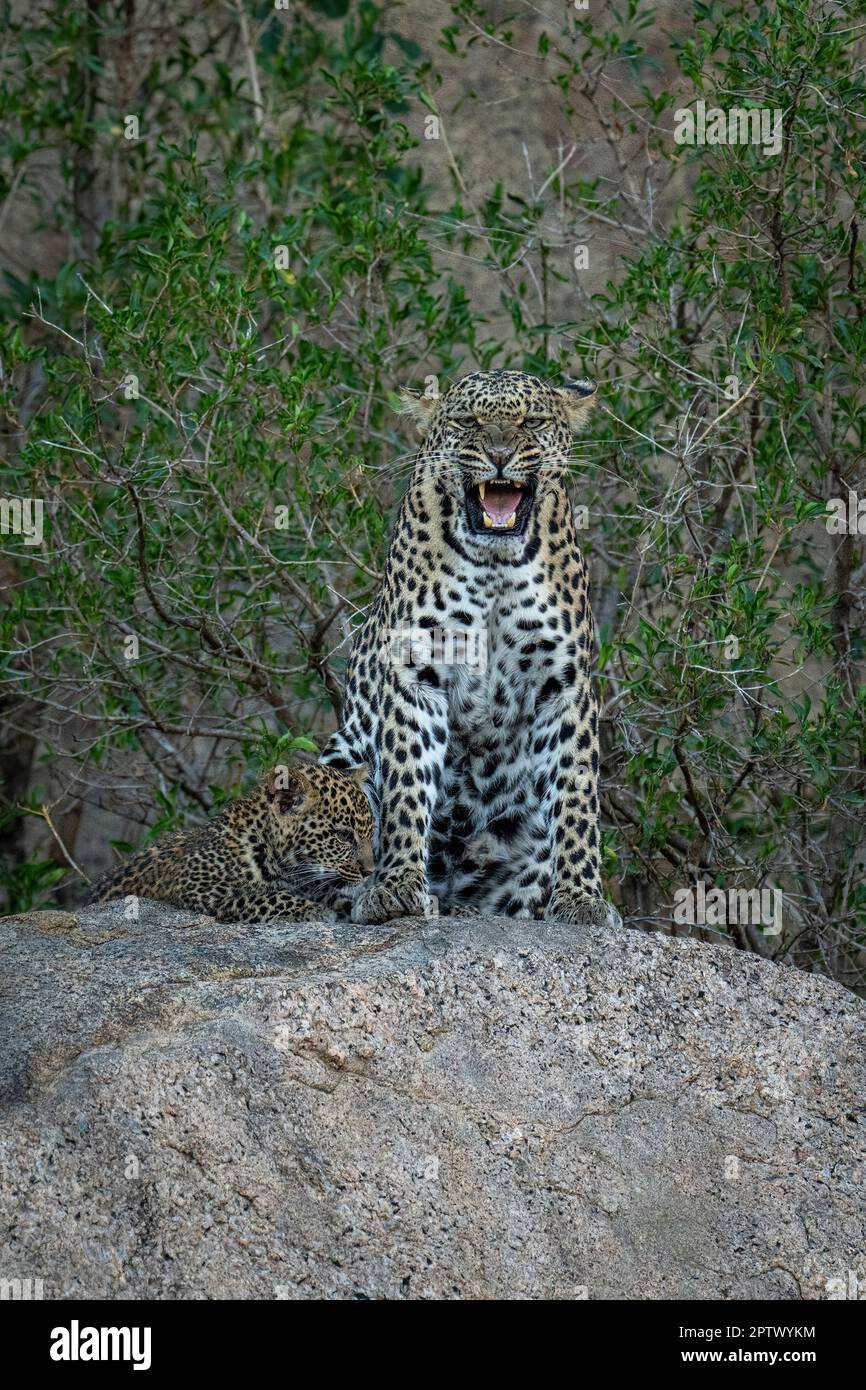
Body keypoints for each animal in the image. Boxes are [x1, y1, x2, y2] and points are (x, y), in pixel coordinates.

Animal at [87, 762, 374, 923]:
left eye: (370, 832)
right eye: (343, 836)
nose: (369, 871)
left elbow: (341, 898)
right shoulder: (199, 889)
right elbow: (263, 896)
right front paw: (313, 911)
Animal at [320, 367, 622, 931]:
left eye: (532, 421)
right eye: (467, 421)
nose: (500, 454)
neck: (495, 562)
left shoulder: (564, 684)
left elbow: (576, 795)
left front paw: (582, 898)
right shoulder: (415, 671)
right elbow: (406, 781)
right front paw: (395, 887)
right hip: (340, 759)